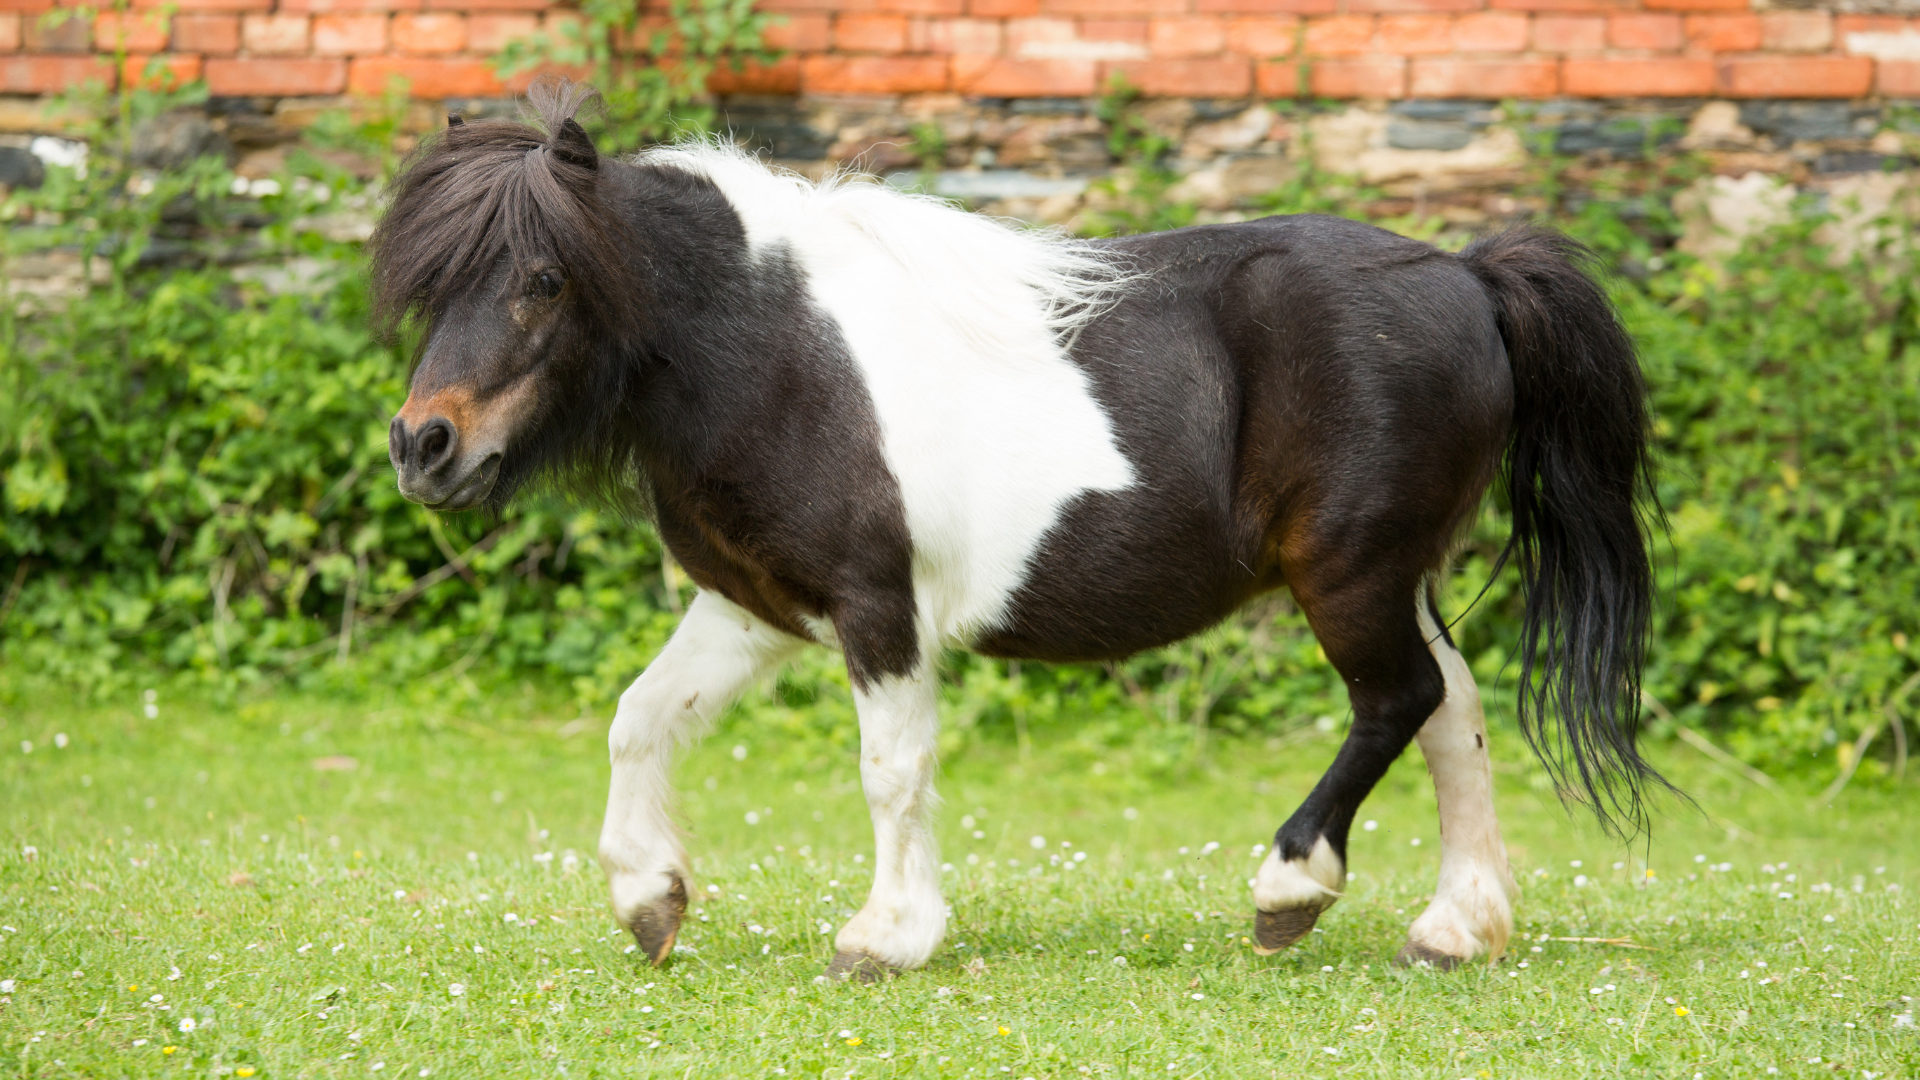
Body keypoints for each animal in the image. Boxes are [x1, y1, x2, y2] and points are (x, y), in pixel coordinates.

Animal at [370, 80, 1664, 981]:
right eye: (434, 285)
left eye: (543, 280)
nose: (423, 446)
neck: (774, 349)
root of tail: (1470, 274)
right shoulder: (752, 607)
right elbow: (640, 719)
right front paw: (650, 900)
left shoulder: (877, 607)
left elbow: (891, 770)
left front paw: (886, 937)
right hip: (1393, 576)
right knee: (1455, 714)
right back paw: (1456, 927)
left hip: (1346, 573)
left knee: (1398, 703)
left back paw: (1289, 889)